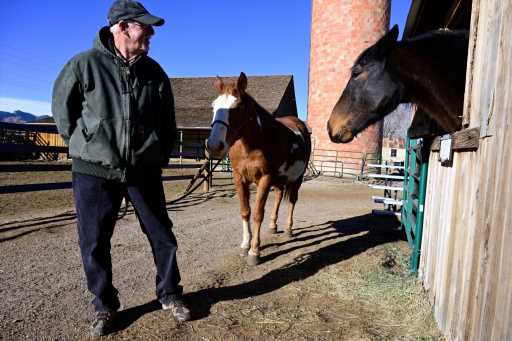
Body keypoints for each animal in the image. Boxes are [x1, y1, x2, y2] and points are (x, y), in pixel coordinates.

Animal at [206, 72, 310, 266]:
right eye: (214, 106)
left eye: (238, 107)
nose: (213, 146)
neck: (254, 144)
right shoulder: (239, 178)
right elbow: (245, 211)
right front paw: (245, 245)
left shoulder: (265, 179)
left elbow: (257, 214)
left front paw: (254, 252)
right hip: (280, 179)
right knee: (279, 196)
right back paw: (273, 226)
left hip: (296, 179)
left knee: (292, 201)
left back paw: (289, 229)